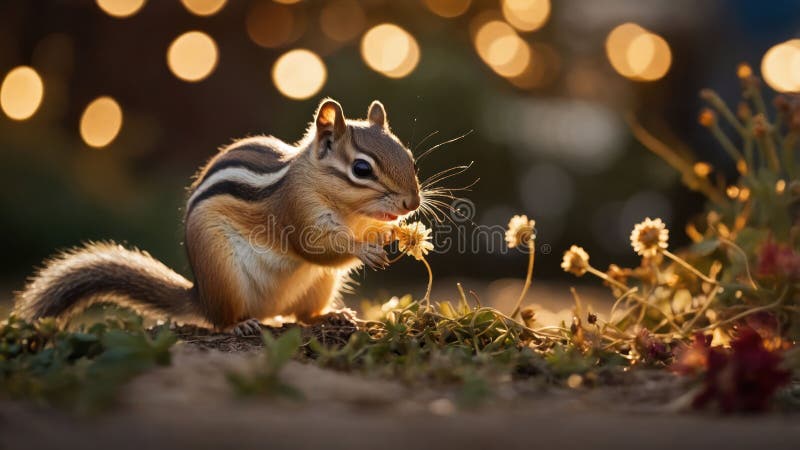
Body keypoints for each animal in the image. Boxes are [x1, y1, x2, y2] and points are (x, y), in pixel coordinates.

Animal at [13, 98, 421, 336]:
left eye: (410, 158)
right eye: (361, 169)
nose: (412, 203)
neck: (349, 212)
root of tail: (201, 296)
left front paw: (391, 234)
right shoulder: (296, 209)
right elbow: (316, 247)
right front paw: (365, 248)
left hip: (320, 285)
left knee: (303, 315)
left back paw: (332, 317)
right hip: (222, 273)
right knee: (222, 320)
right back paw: (240, 326)